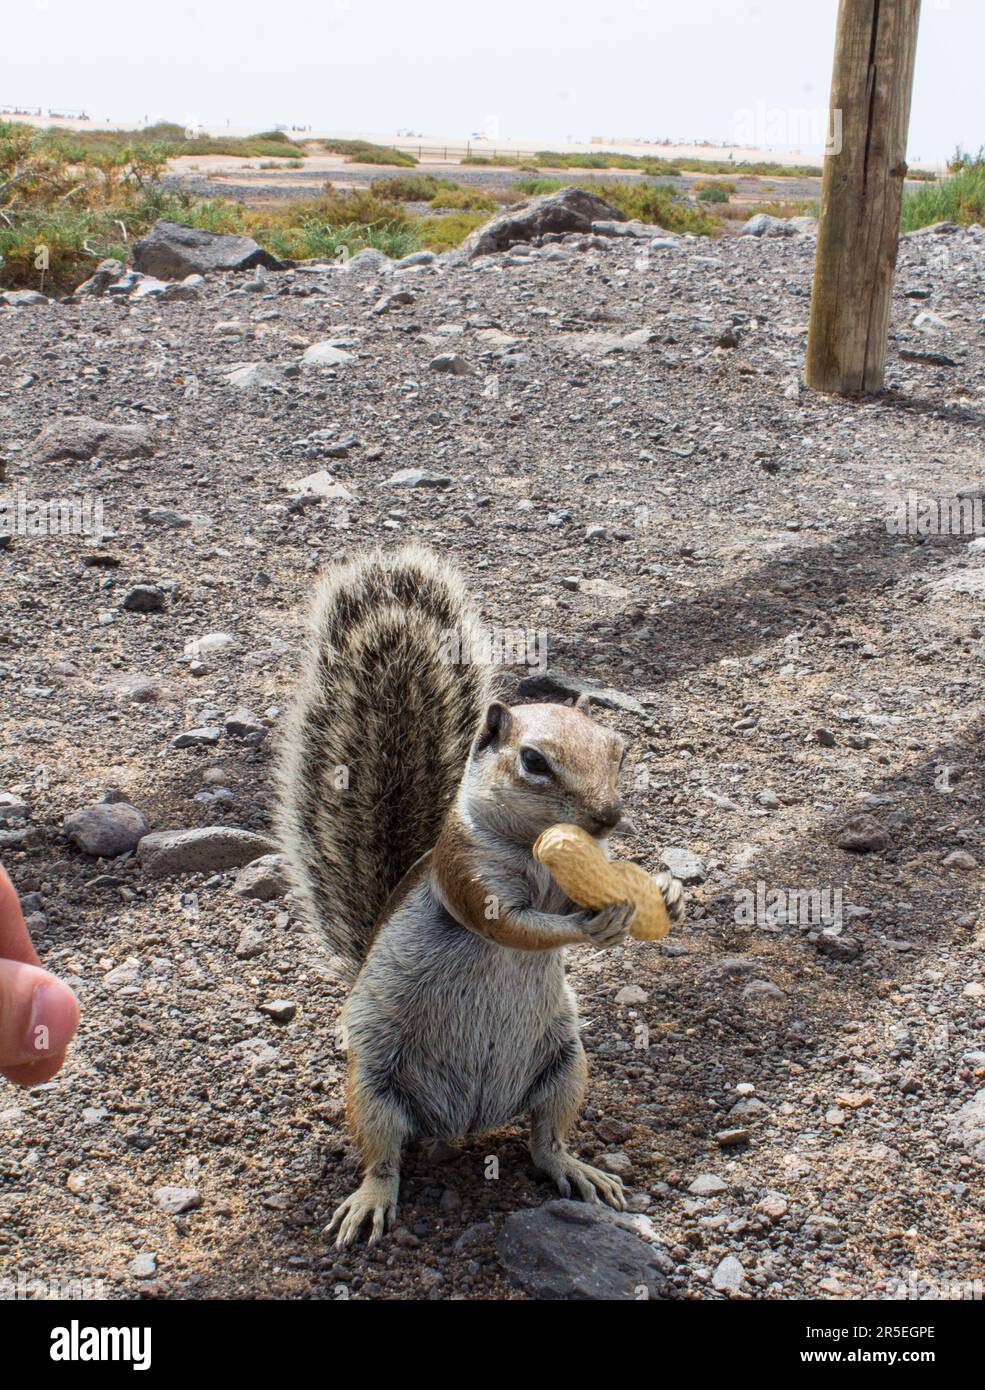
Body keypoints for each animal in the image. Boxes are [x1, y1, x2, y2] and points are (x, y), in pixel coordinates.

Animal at [276, 546, 685, 1248]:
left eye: (619, 749)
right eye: (533, 761)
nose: (607, 817)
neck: (534, 851)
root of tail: (463, 1124)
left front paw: (665, 887)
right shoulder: (467, 874)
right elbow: (514, 925)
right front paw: (593, 925)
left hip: (564, 1069)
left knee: (545, 1141)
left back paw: (577, 1169)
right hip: (373, 1088)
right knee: (383, 1156)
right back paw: (370, 1199)